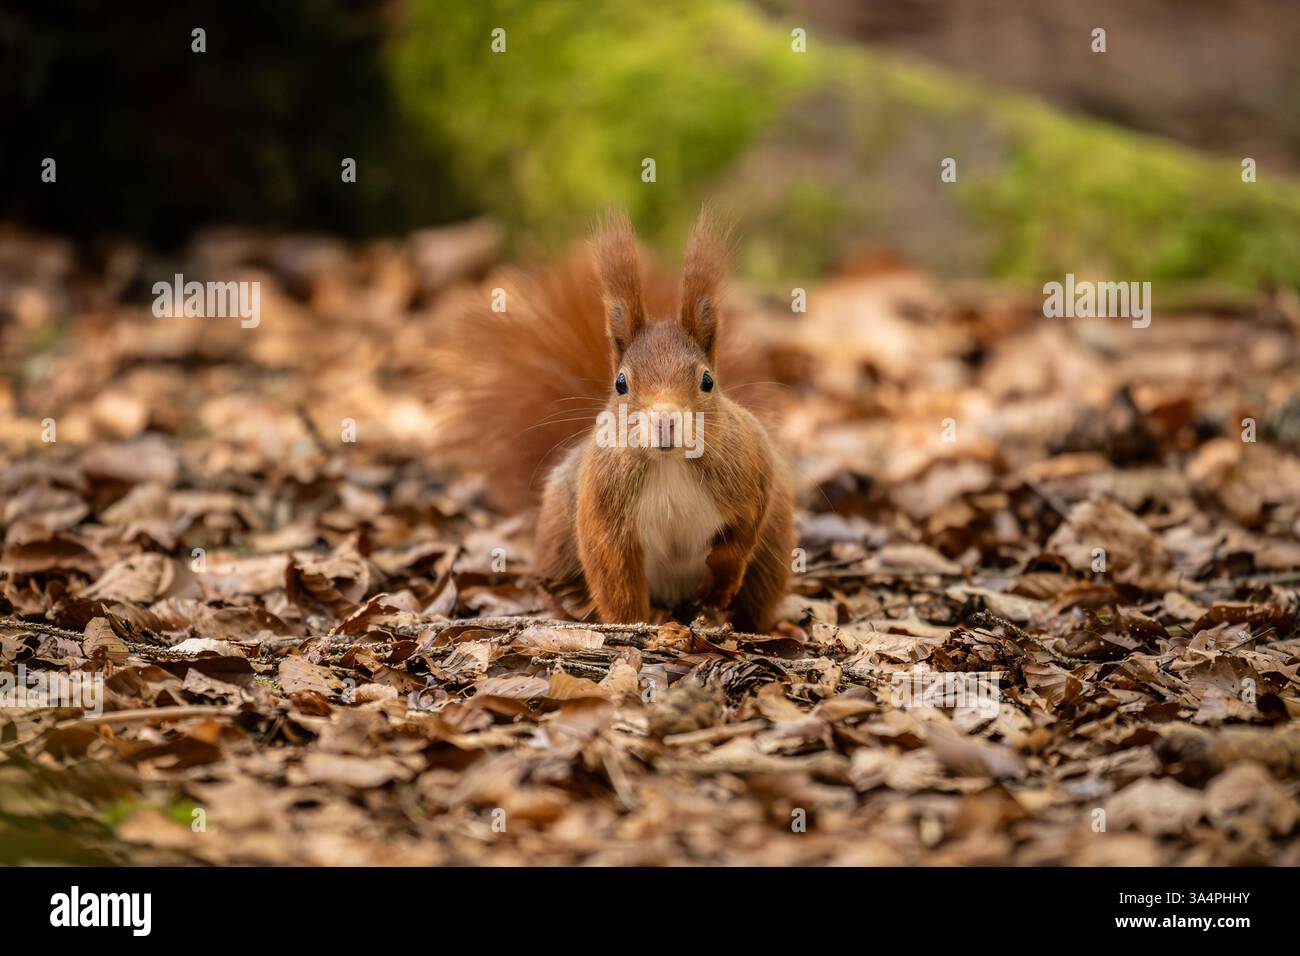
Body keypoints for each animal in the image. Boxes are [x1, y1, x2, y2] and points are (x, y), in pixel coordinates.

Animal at [429, 208, 795, 632]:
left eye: (707, 381)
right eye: (621, 383)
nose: (665, 421)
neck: (669, 464)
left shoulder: (752, 475)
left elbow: (740, 537)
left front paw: (719, 588)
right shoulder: (603, 509)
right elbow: (614, 575)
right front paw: (634, 624)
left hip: (773, 551)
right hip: (558, 542)